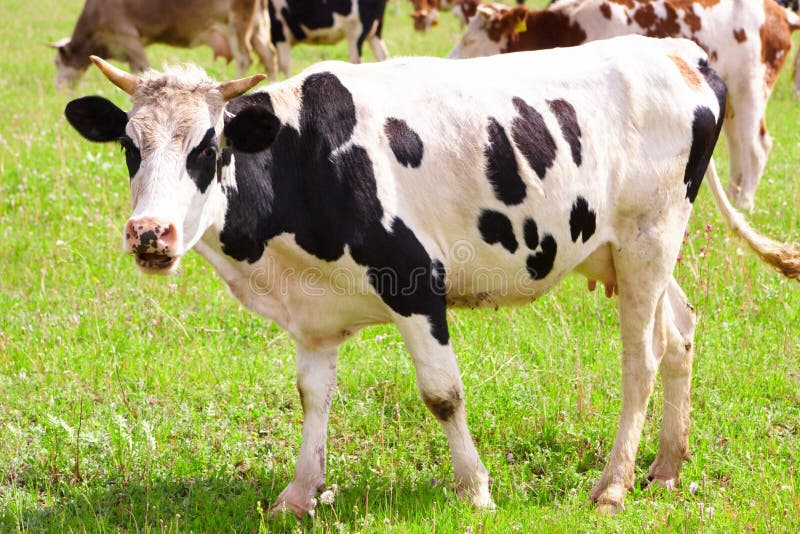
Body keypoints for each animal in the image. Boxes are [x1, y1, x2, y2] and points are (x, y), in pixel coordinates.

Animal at [50, 0, 277, 90]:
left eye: (57, 63)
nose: (58, 88)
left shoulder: (127, 37)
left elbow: (142, 67)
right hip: (257, 28)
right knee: (269, 55)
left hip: (237, 25)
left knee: (244, 58)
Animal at [63, 38, 800, 516]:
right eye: (130, 146)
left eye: (208, 147)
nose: (150, 234)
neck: (306, 158)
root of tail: (682, 53)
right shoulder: (313, 316)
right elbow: (311, 396)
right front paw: (298, 495)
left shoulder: (416, 283)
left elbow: (443, 395)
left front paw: (475, 490)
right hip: (624, 249)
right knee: (680, 333)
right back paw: (667, 467)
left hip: (652, 234)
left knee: (642, 356)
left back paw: (613, 484)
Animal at [448, 0, 800, 211]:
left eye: (473, 38)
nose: (449, 60)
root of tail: (779, 13)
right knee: (740, 145)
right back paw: (735, 195)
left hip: (751, 88)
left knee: (755, 146)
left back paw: (744, 203)